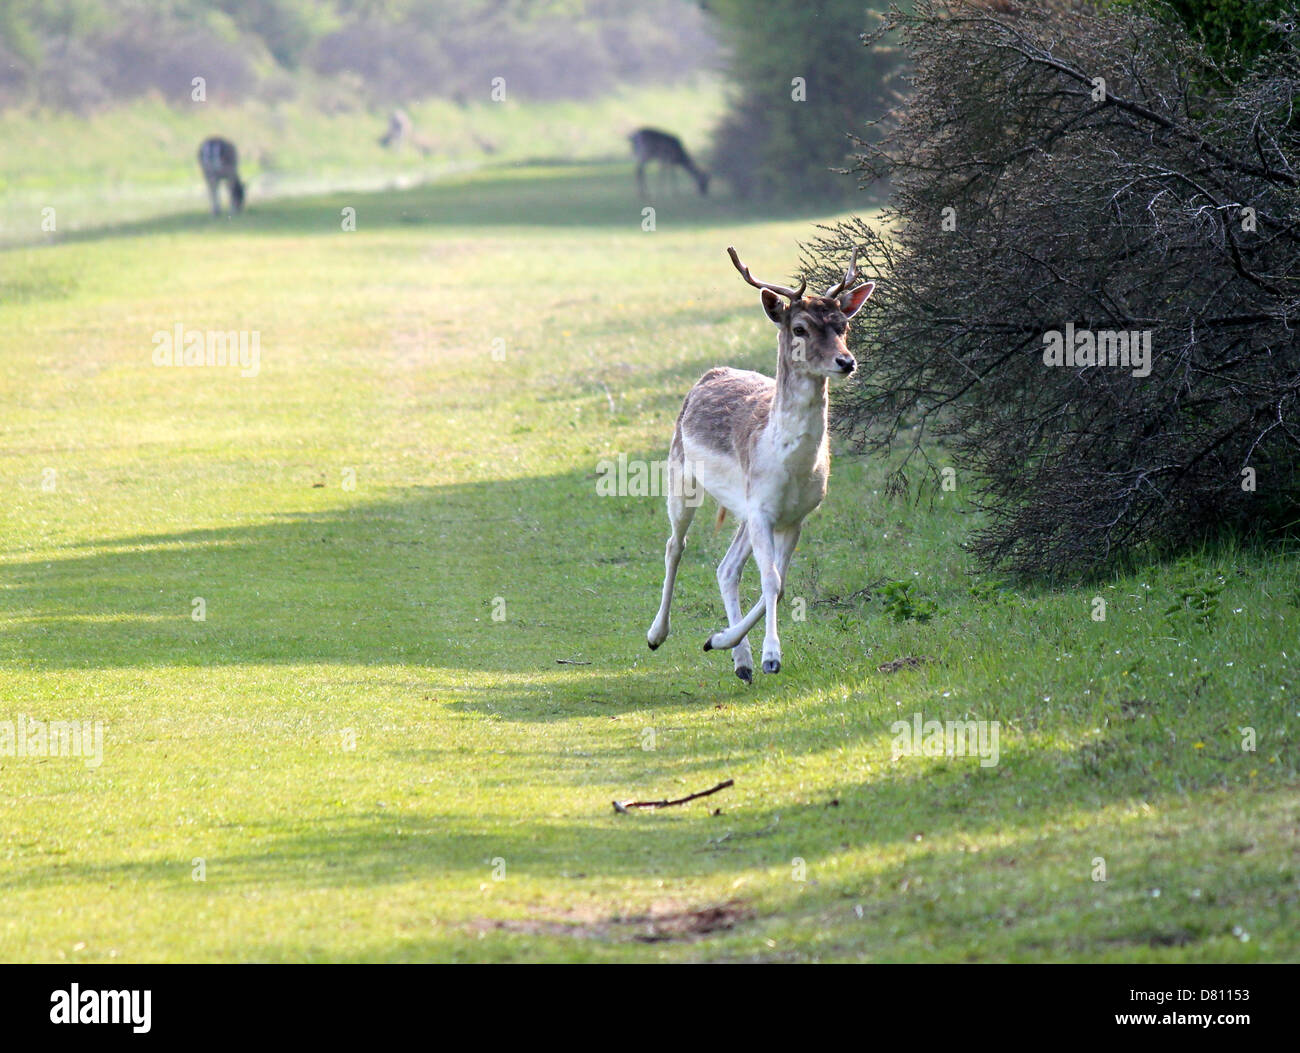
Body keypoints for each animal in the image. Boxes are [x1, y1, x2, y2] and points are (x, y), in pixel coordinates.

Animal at [646, 246, 875, 682]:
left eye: (844, 325)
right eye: (800, 328)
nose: (847, 361)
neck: (789, 463)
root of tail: (709, 374)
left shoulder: (791, 516)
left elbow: (780, 585)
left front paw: (721, 641)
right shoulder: (762, 509)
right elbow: (771, 581)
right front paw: (771, 657)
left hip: (742, 509)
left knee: (726, 567)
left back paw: (740, 661)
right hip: (680, 473)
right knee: (674, 545)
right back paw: (656, 634)